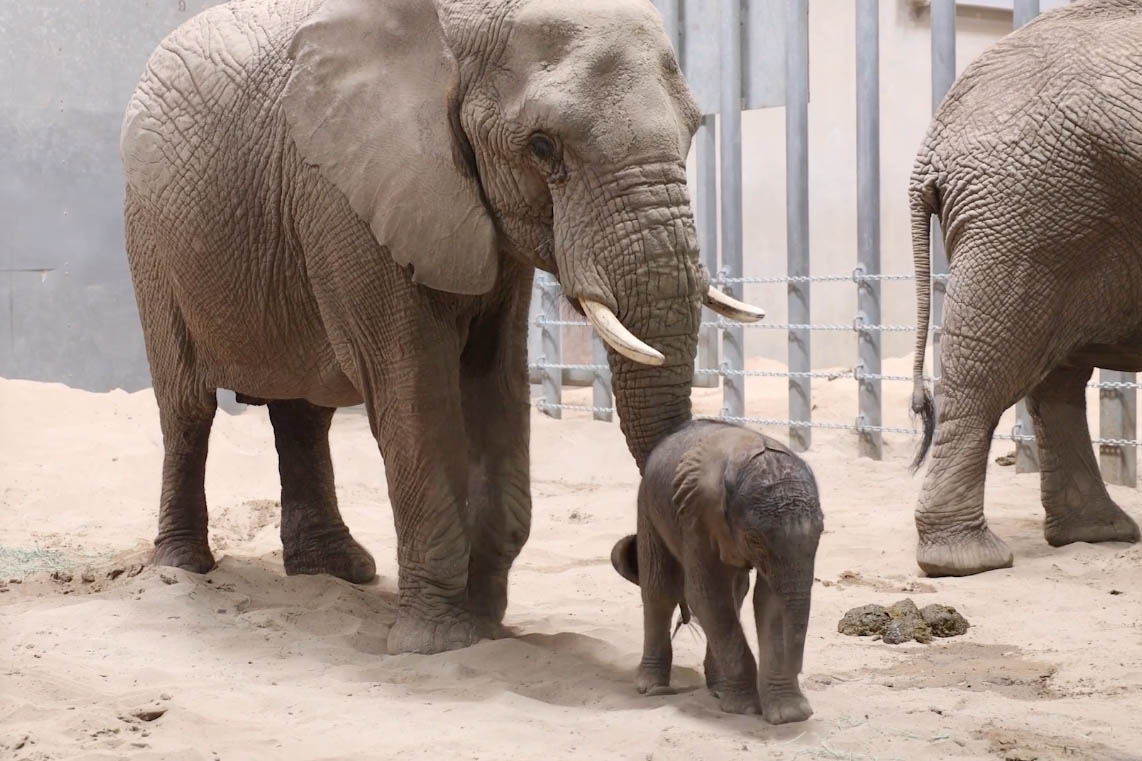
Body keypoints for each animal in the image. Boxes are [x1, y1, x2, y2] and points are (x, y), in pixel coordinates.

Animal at [118, 0, 764, 654]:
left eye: (694, 130)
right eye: (542, 146)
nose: (631, 553)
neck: (459, 29)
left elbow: (496, 384)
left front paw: (486, 625)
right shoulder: (351, 196)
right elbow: (414, 393)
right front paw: (436, 641)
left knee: (304, 412)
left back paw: (335, 573)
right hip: (151, 239)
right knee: (188, 407)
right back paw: (183, 569)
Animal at [610, 420, 822, 722]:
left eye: (821, 533)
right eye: (755, 540)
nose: (800, 668)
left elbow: (769, 602)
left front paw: (789, 715)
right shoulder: (697, 518)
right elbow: (706, 596)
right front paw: (746, 710)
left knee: (736, 592)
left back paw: (719, 690)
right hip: (649, 505)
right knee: (659, 592)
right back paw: (654, 688)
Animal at [908, 0, 1142, 577]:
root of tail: (932, 147)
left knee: (1055, 375)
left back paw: (1097, 534)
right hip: (1031, 212)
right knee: (990, 367)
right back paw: (965, 561)